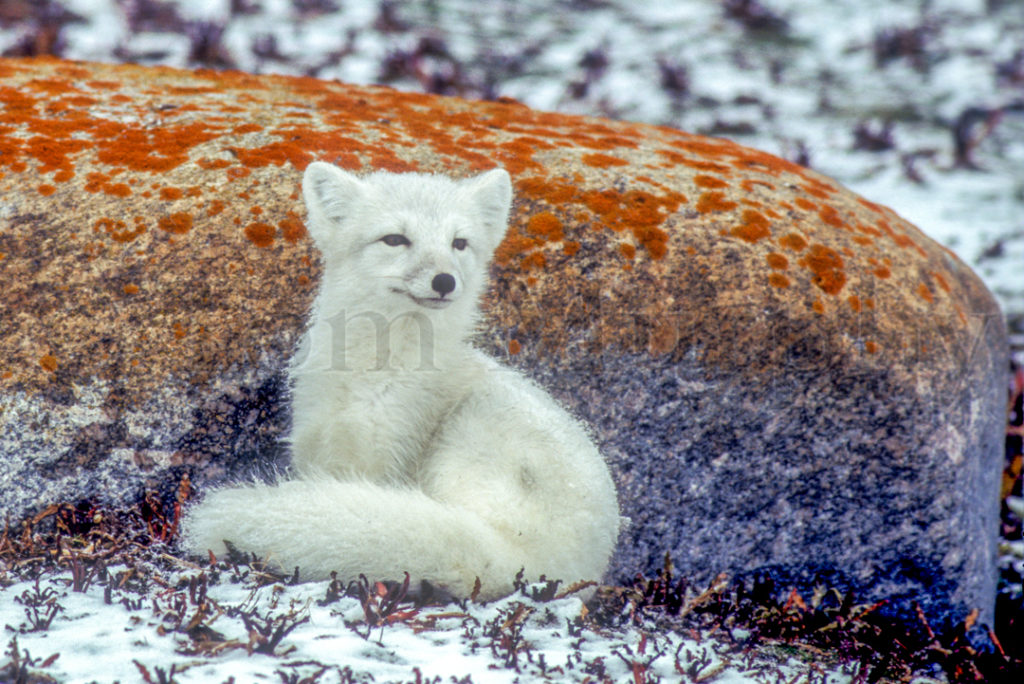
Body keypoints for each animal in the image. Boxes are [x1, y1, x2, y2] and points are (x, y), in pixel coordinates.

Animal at [180, 162, 621, 599]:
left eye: (459, 243)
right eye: (395, 239)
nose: (445, 281)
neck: (370, 375)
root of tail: (549, 562)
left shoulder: (381, 460)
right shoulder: (319, 454)